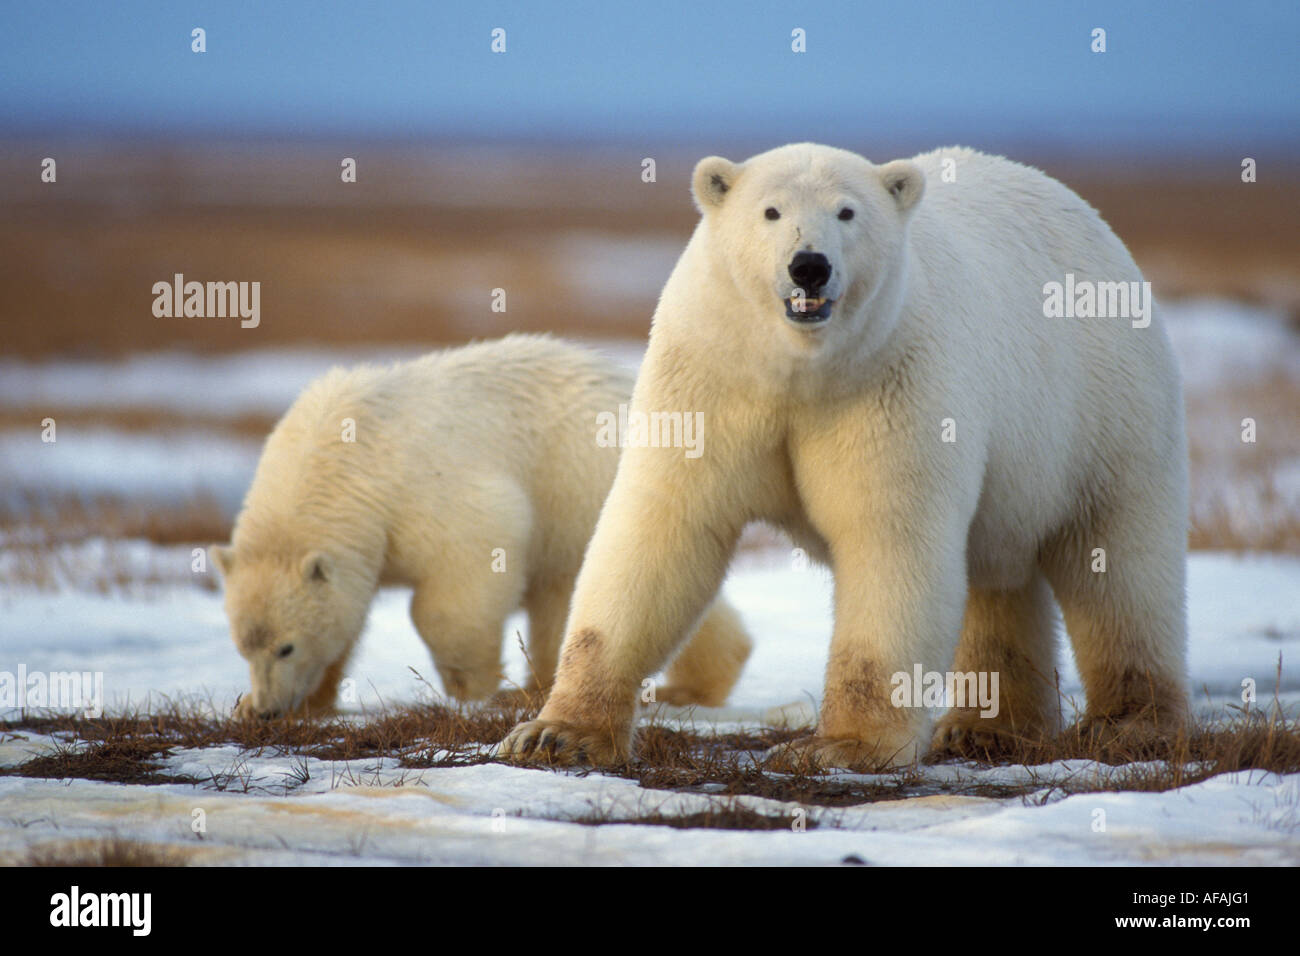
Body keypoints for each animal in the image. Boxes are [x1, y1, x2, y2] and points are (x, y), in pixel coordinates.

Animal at [213, 334, 752, 720]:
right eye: (242, 646)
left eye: (286, 646)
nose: (267, 710)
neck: (342, 457)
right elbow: (346, 613)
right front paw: (284, 702)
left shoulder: (423, 492)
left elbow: (460, 582)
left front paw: (468, 690)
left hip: (585, 481)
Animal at [500, 143, 1189, 770]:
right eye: (771, 210)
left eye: (847, 211)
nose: (809, 265)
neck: (800, 370)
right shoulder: (709, 378)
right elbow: (662, 532)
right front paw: (554, 734)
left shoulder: (891, 383)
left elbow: (888, 542)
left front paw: (842, 745)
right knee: (997, 575)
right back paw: (989, 729)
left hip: (1105, 409)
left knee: (1119, 567)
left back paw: (1131, 725)